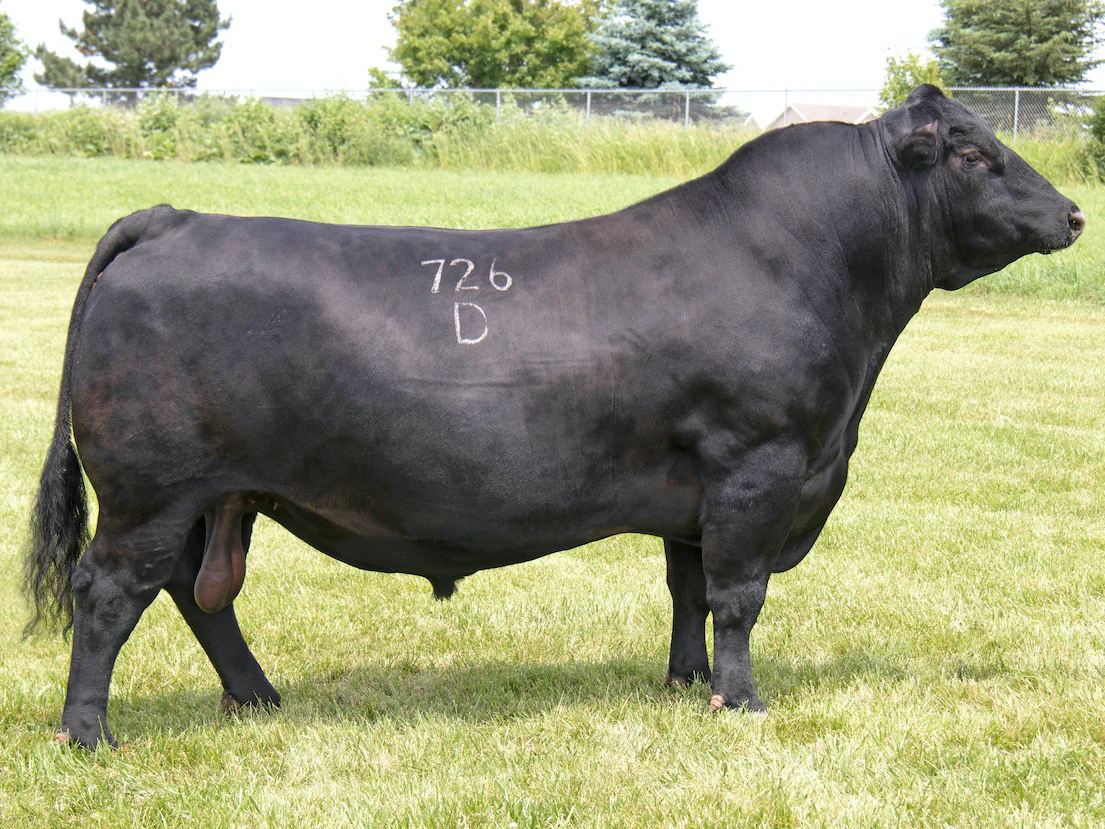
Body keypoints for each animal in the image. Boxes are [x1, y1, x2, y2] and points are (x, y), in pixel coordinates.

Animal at [23, 85, 1084, 748]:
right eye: (976, 153)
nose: (1073, 213)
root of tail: (174, 216)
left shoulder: (698, 488)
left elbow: (687, 590)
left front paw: (685, 683)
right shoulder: (759, 465)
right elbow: (738, 595)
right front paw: (740, 702)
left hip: (212, 497)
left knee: (200, 595)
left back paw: (258, 698)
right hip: (148, 489)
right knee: (110, 592)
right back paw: (89, 733)